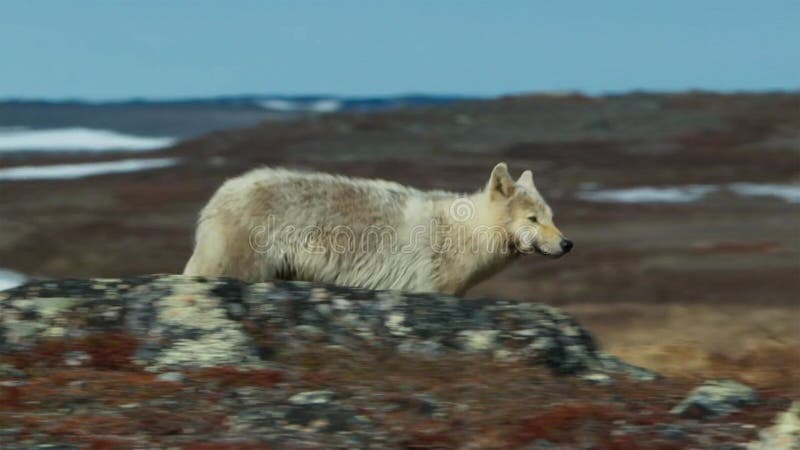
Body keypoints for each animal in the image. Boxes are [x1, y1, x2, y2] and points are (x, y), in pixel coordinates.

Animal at [183, 163, 572, 295]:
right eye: (532, 219)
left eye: (551, 216)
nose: (567, 244)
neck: (465, 234)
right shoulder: (427, 284)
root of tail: (219, 194)